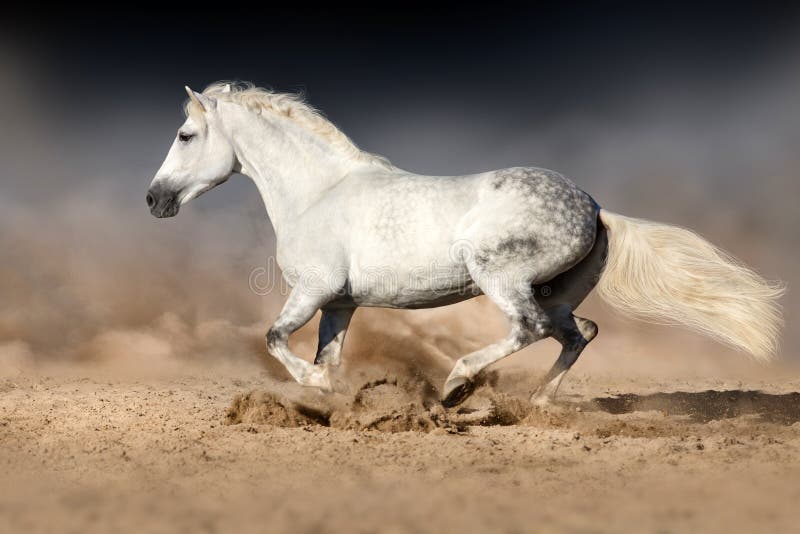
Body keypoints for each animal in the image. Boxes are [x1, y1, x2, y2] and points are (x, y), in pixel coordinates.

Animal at [147, 82, 784, 408]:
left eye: (186, 134)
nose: (154, 200)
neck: (319, 192)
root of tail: (596, 208)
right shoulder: (339, 304)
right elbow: (326, 355)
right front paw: (332, 399)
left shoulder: (312, 292)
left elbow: (276, 339)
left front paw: (316, 389)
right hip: (554, 292)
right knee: (578, 333)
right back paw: (535, 405)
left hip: (500, 279)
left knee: (530, 330)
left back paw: (458, 387)